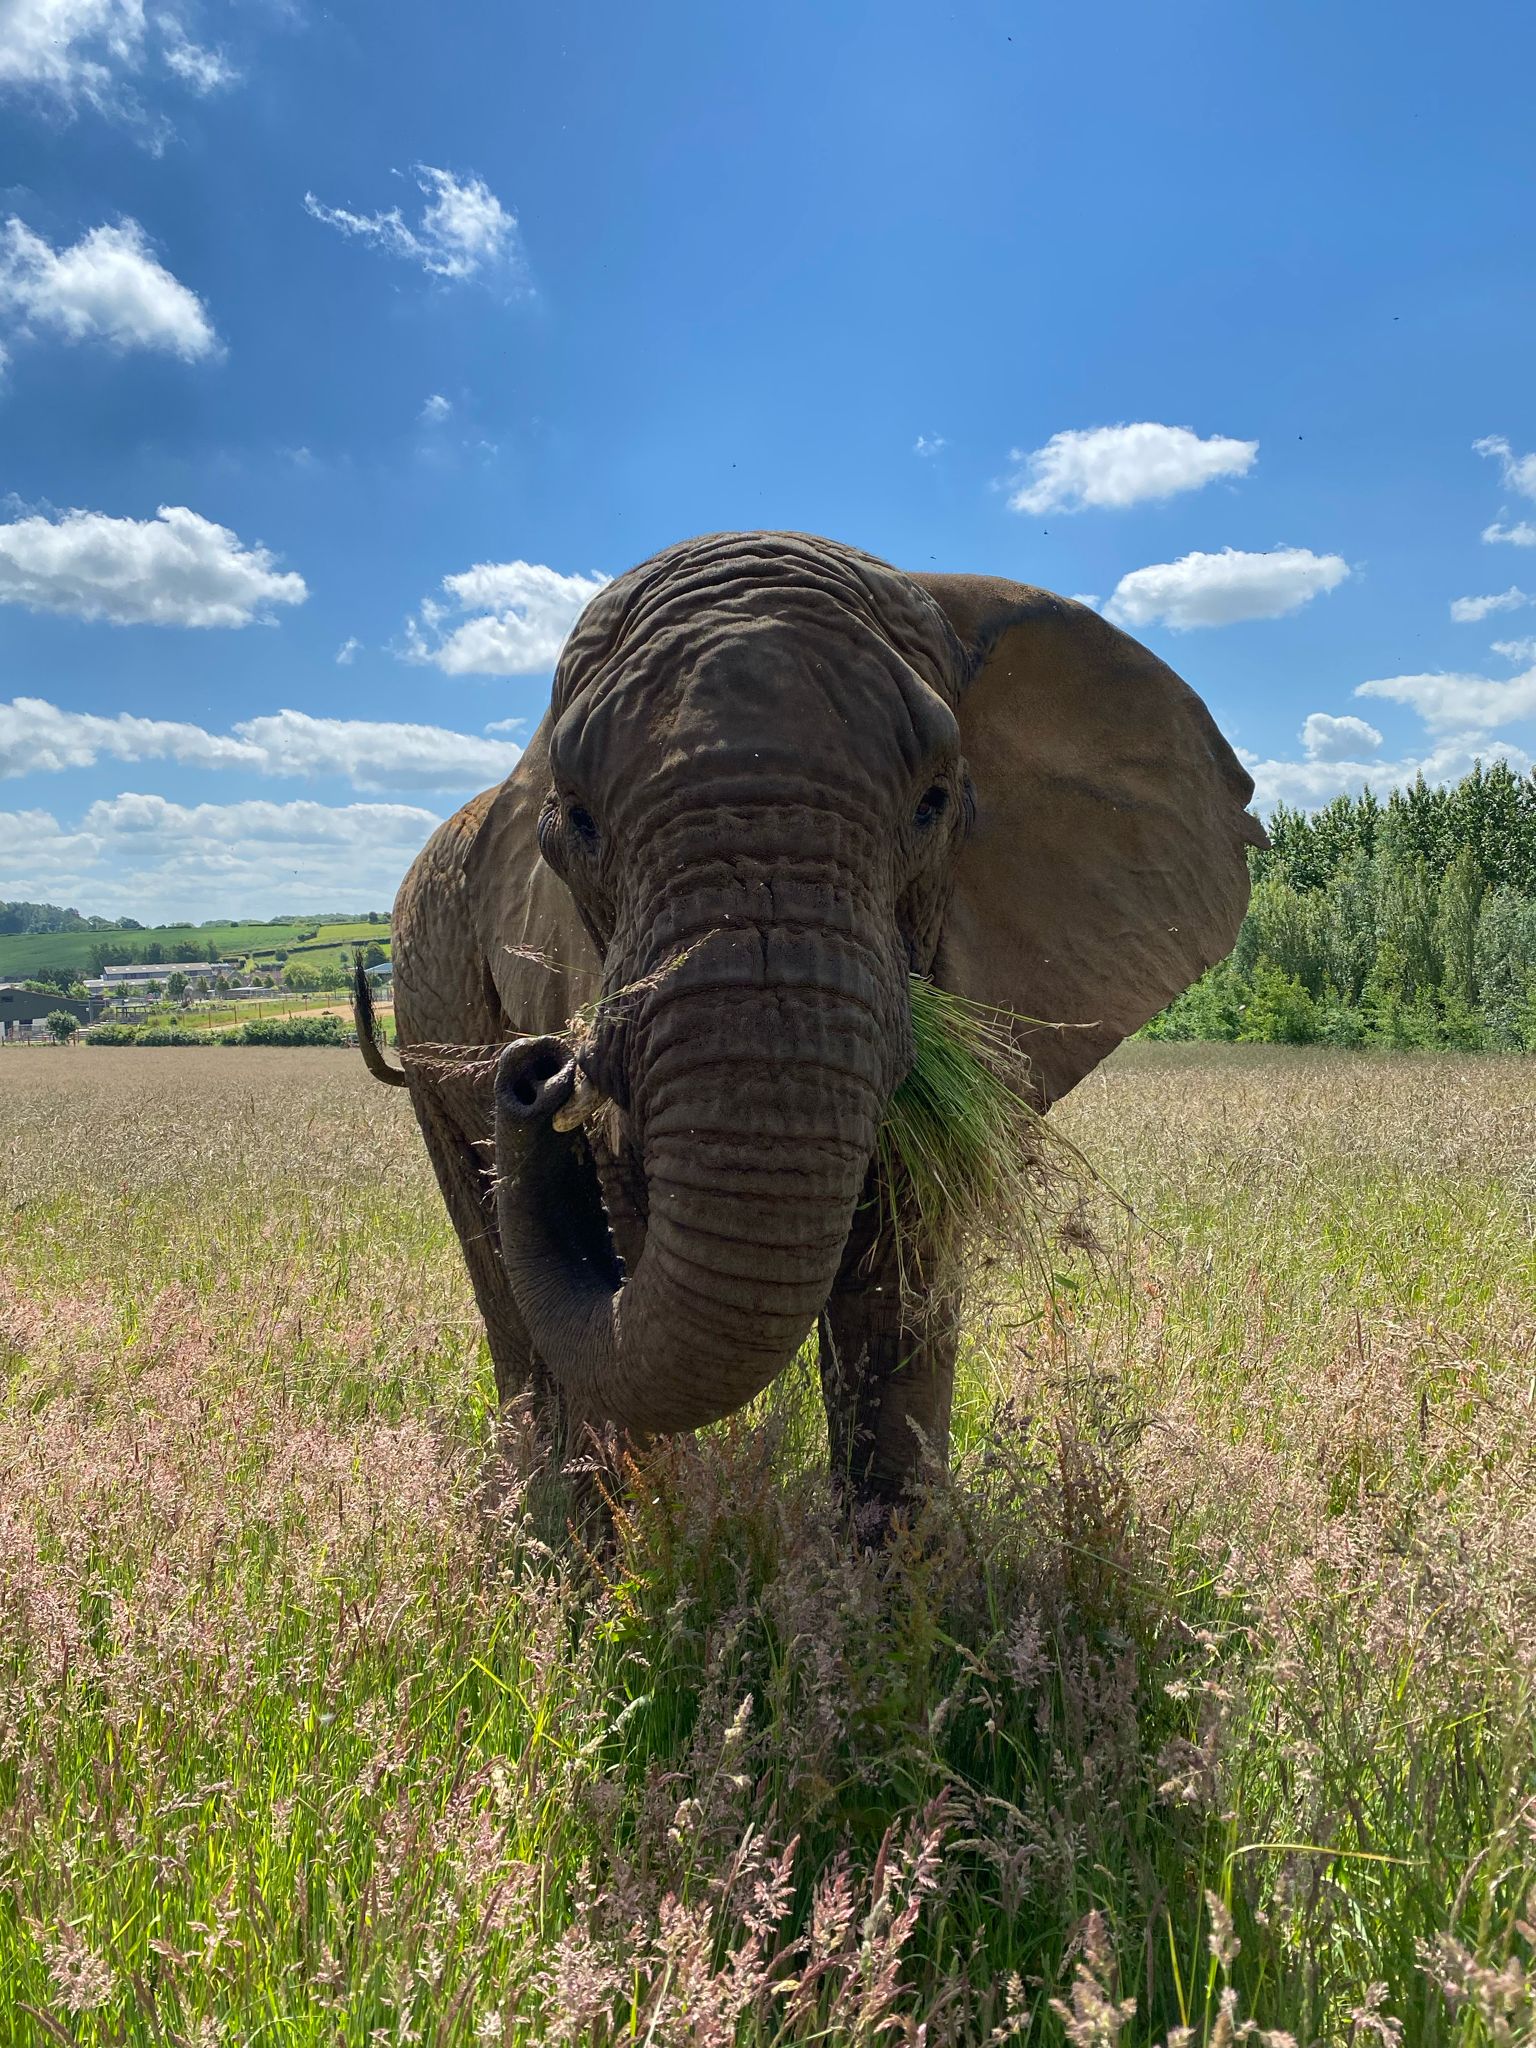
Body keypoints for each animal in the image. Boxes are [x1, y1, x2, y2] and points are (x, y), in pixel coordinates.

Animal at [355, 530, 1263, 1503]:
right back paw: (549, 1510)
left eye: (933, 806)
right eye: (579, 825)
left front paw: (895, 1548)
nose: (536, 1068)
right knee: (492, 1252)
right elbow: (628, 1233)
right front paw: (655, 1535)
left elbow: (900, 1273)